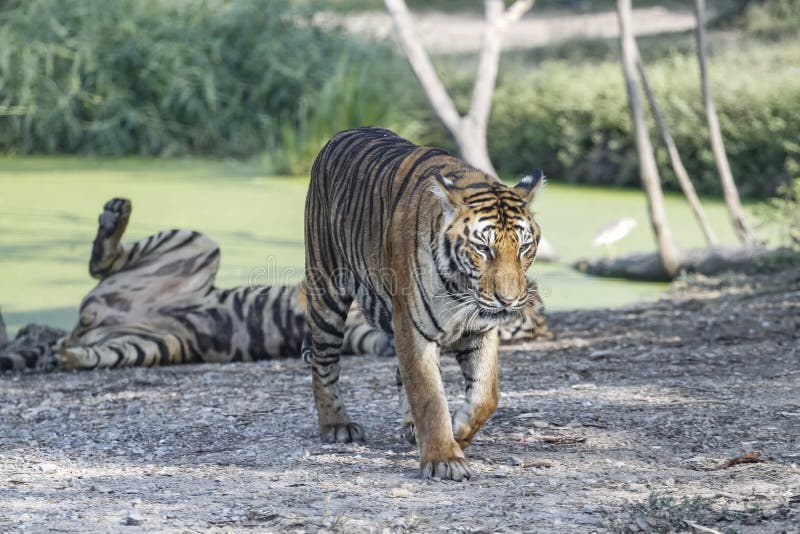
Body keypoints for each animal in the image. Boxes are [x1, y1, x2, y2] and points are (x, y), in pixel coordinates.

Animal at [0, 197, 552, 373]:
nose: (514, 302)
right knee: (102, 260)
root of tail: (93, 320)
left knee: (84, 347)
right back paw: (115, 214)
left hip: (146, 344)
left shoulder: (364, 334)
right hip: (196, 242)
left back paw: (61, 353)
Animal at [304, 127, 545, 481]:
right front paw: (444, 459)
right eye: (483, 249)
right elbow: (429, 396)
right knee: (323, 363)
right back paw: (336, 425)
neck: (460, 289)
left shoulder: (480, 330)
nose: (509, 300)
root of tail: (344, 131)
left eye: (524, 248)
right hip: (326, 291)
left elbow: (486, 395)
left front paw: (457, 432)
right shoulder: (413, 329)